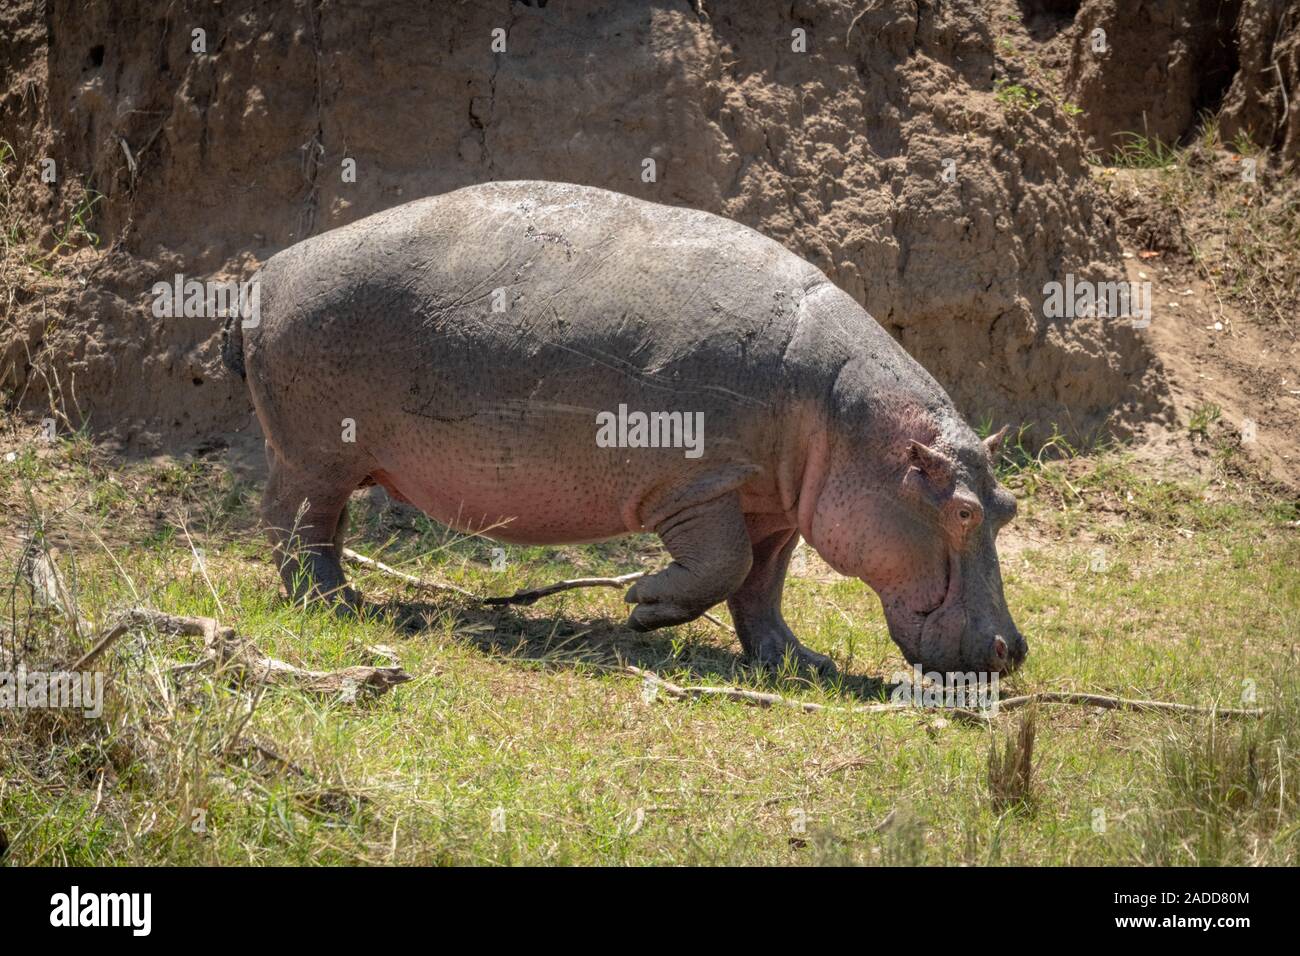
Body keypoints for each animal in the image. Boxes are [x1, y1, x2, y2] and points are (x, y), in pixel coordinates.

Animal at [224, 180, 1027, 676]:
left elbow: (761, 589)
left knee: (312, 528)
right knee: (294, 527)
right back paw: (338, 605)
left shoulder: (775, 507)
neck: (842, 414)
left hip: (328, 458)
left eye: (1008, 507)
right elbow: (724, 565)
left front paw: (803, 664)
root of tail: (264, 273)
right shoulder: (699, 485)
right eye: (961, 512)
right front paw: (643, 604)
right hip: (313, 455)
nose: (1014, 649)